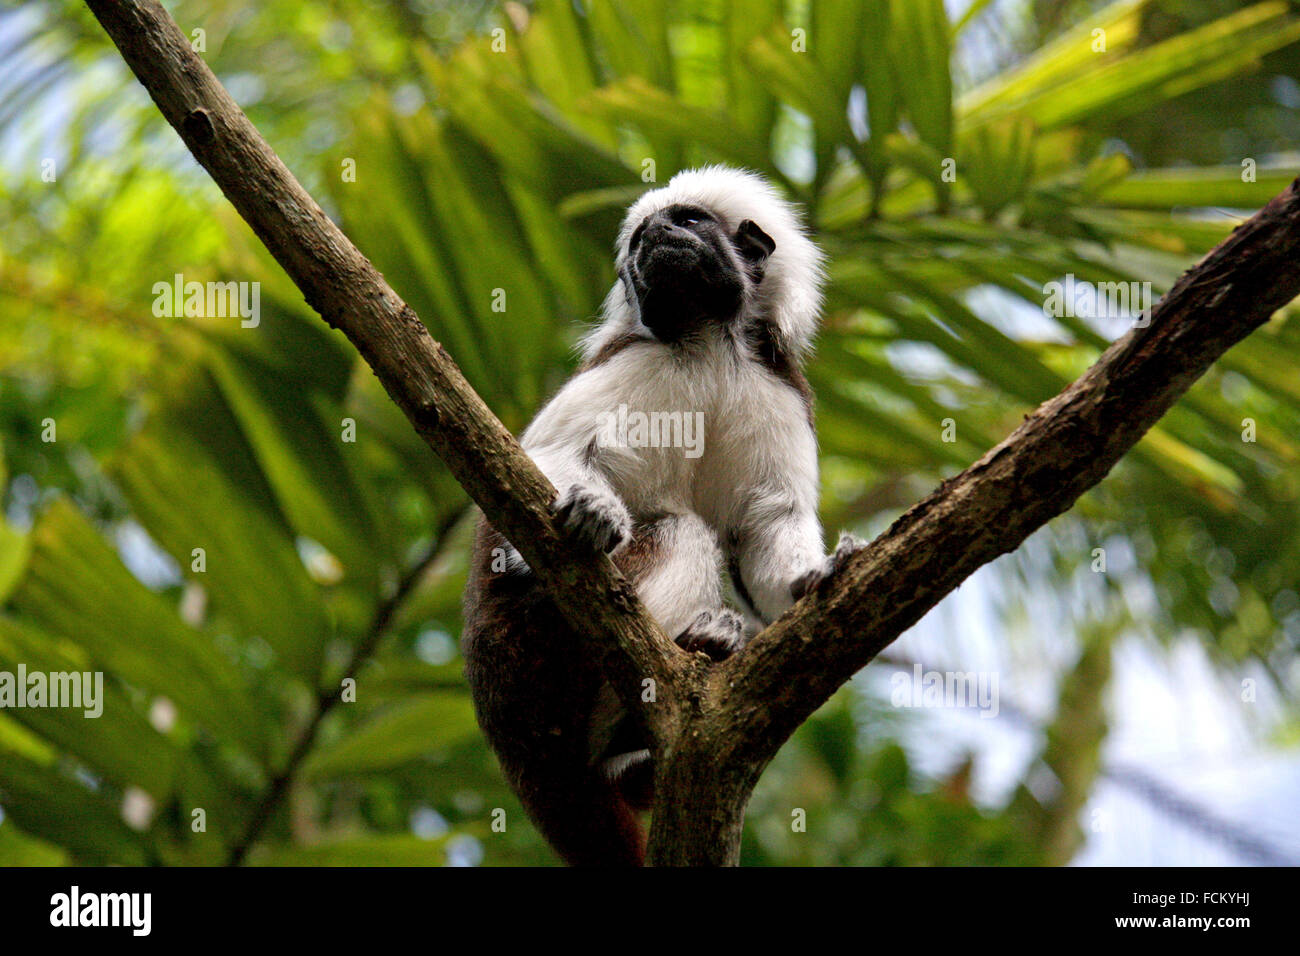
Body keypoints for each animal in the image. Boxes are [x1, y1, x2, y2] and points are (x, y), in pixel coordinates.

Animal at [461, 166, 862, 866]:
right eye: (640, 239)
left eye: (687, 221)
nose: (653, 241)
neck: (711, 345)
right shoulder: (634, 356)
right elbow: (545, 454)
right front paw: (593, 508)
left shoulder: (778, 388)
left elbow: (768, 523)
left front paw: (811, 580)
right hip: (532, 645)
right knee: (678, 533)